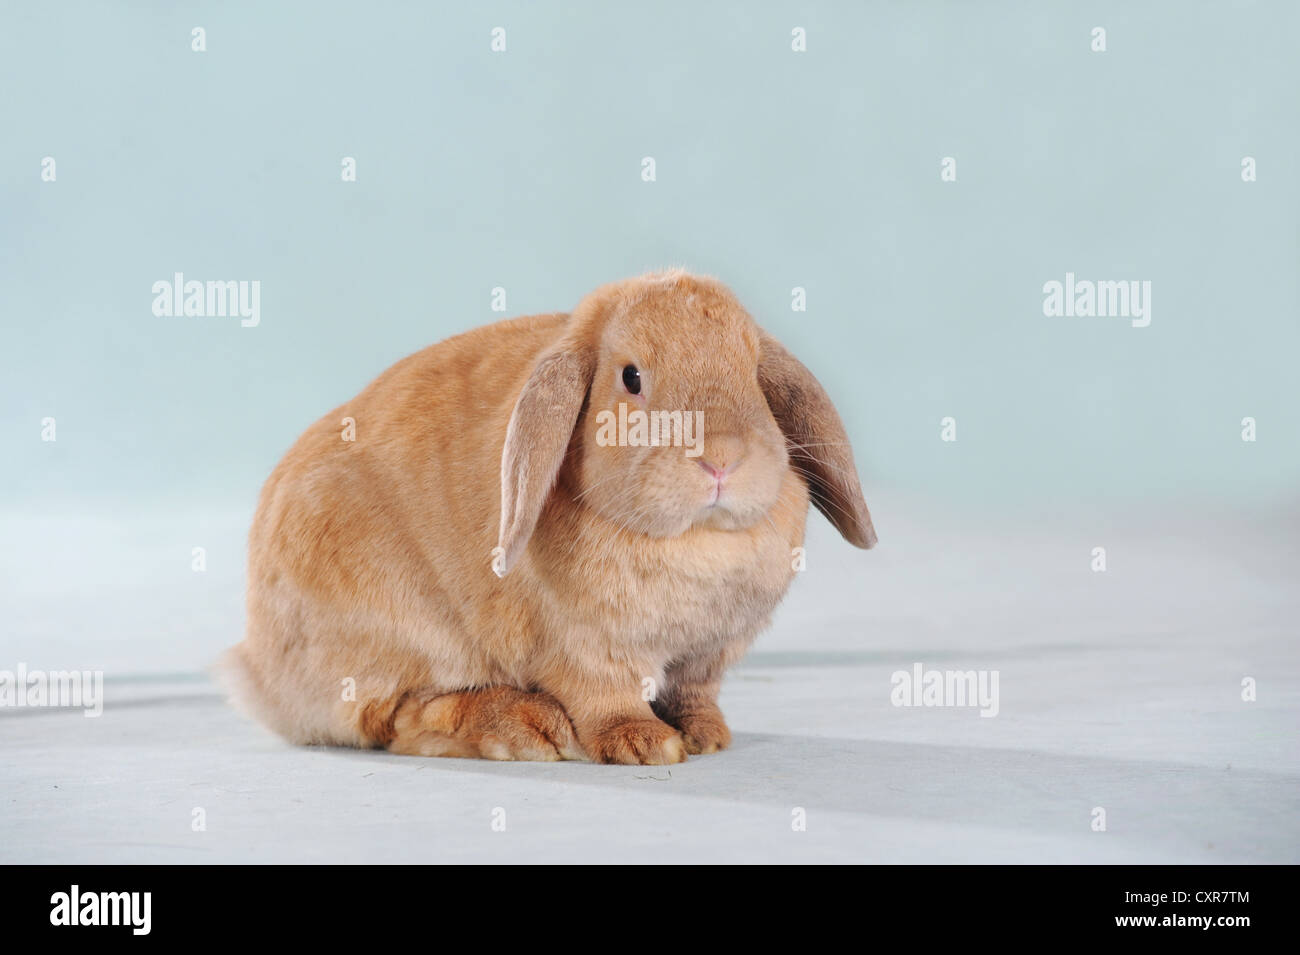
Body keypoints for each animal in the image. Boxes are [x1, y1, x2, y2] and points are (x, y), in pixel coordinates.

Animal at [220, 269, 876, 764]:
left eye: (753, 372)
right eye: (631, 377)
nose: (721, 457)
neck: (690, 540)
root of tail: (256, 666)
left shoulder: (706, 656)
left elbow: (694, 694)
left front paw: (707, 736)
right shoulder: (580, 650)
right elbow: (604, 698)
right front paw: (644, 744)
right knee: (399, 717)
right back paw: (525, 728)